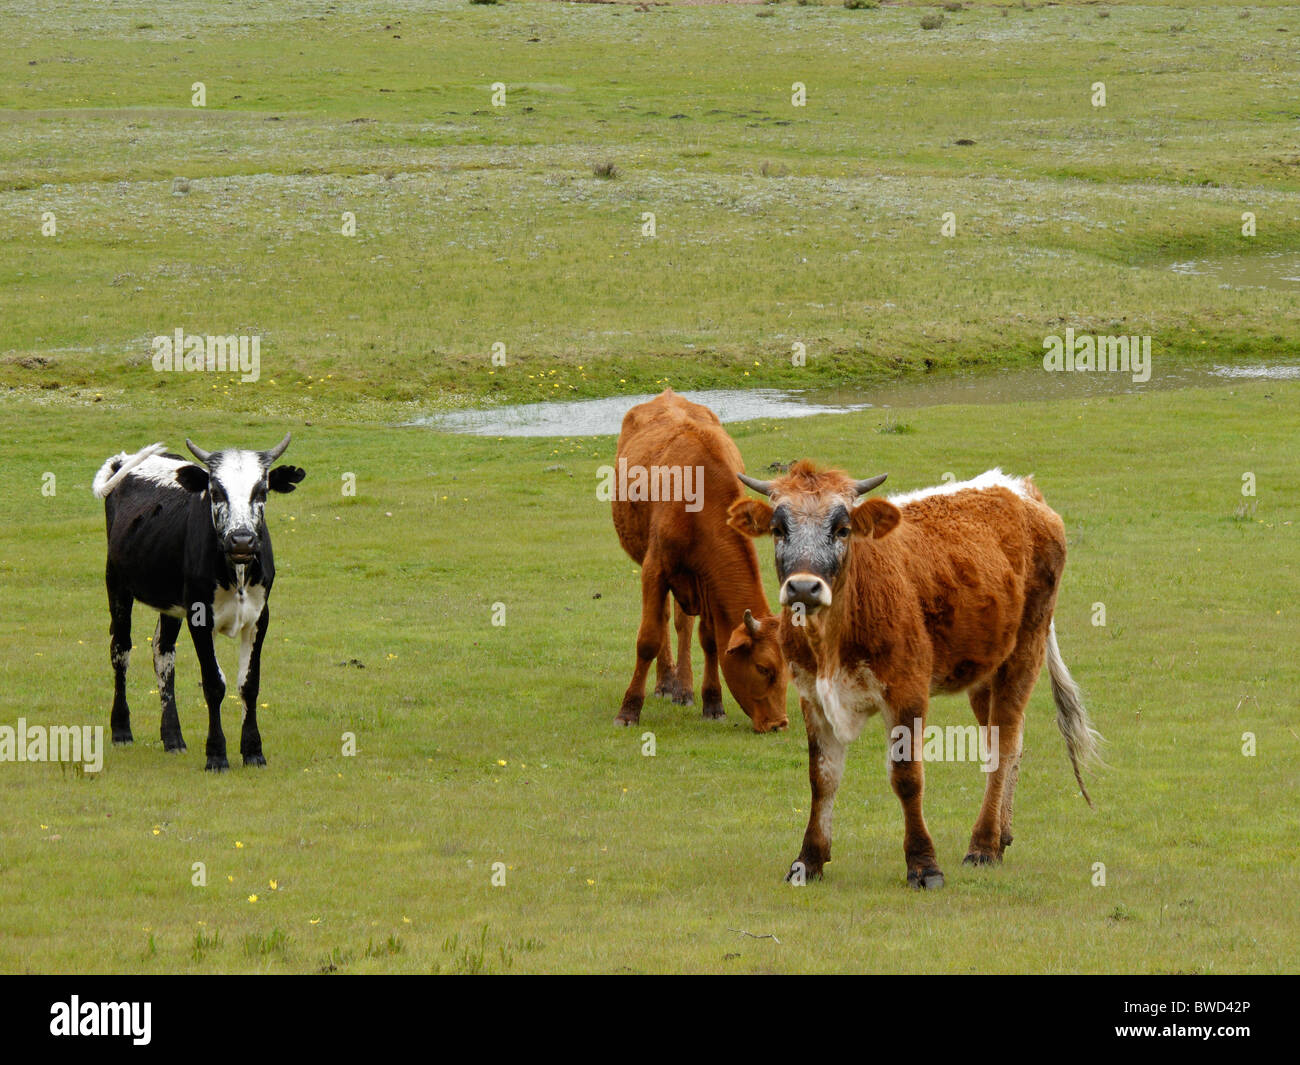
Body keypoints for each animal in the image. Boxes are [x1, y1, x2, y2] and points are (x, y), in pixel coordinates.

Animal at [92, 434, 306, 771]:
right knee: (121, 650)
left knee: (163, 653)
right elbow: (214, 684)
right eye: (216, 492)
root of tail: (122, 460)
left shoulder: (259, 617)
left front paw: (253, 750)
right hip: (117, 584)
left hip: (168, 603)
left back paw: (172, 738)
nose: (242, 540)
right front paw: (217, 754)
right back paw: (122, 730)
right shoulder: (200, 616)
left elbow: (249, 683)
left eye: (262, 490)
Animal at [610, 390, 788, 731]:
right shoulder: (654, 569)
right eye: (763, 668)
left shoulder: (707, 580)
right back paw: (665, 683)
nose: (779, 723)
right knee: (665, 619)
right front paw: (628, 710)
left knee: (682, 624)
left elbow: (709, 639)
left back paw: (683, 688)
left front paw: (713, 702)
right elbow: (648, 638)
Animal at [728, 462, 1101, 888]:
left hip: (1026, 648)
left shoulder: (907, 692)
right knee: (1007, 741)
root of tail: (1019, 488)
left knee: (1004, 744)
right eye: (778, 529)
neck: (832, 638)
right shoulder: (814, 697)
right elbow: (821, 778)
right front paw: (809, 859)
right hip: (984, 670)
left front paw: (923, 864)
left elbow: (907, 777)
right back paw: (1001, 834)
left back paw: (983, 844)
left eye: (842, 529)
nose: (804, 587)